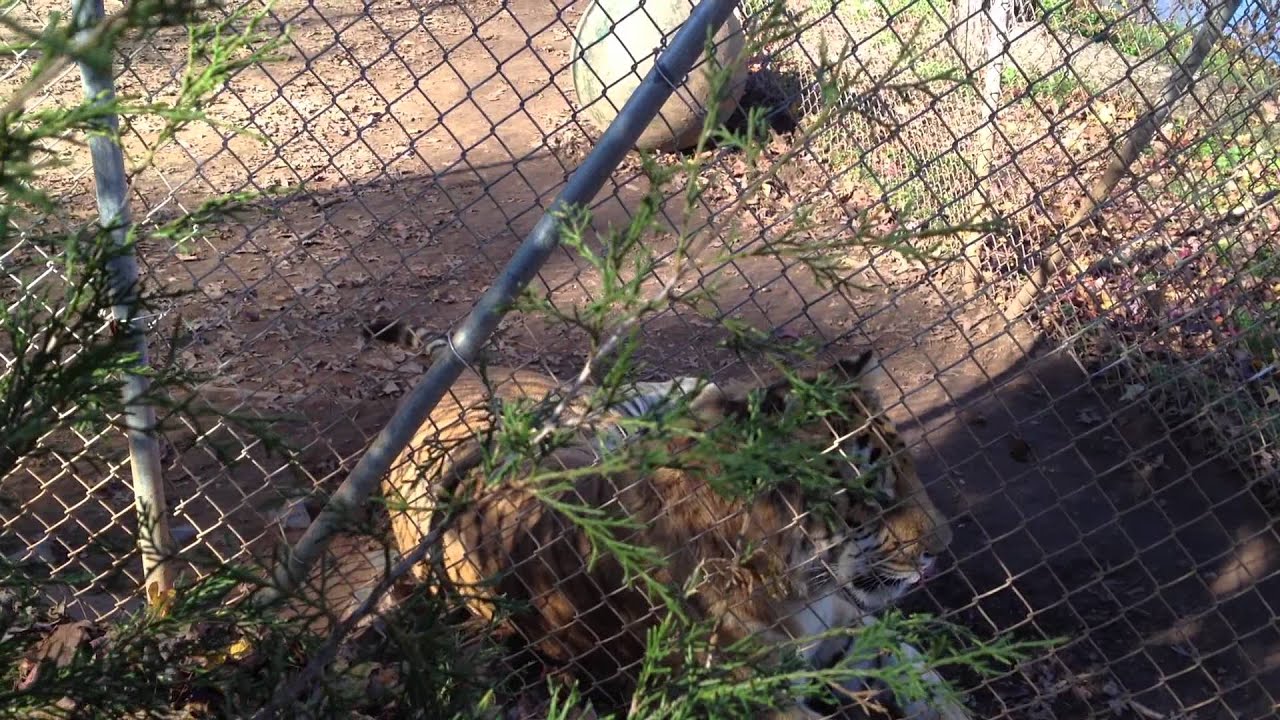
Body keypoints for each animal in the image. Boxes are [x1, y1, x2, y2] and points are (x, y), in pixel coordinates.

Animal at [367, 323, 964, 719]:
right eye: (868, 490)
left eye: (909, 466)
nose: (941, 547)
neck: (798, 579)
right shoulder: (746, 697)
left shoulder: (846, 625)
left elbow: (917, 666)